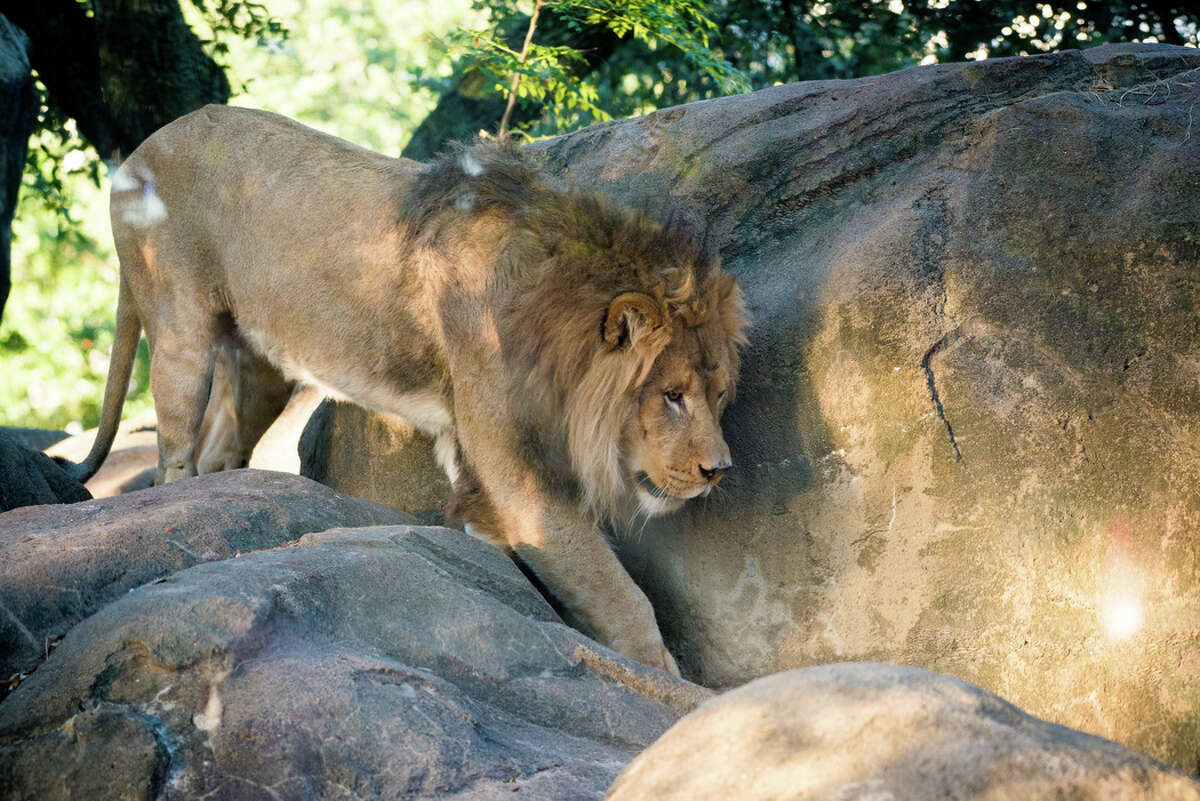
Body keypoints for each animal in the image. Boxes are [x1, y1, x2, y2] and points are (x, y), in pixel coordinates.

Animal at [70, 105, 749, 675]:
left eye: (717, 397)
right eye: (671, 395)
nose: (719, 470)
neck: (549, 312)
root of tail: (138, 152)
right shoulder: (513, 469)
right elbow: (619, 594)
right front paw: (672, 689)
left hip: (259, 365)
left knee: (220, 447)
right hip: (178, 324)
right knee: (174, 454)